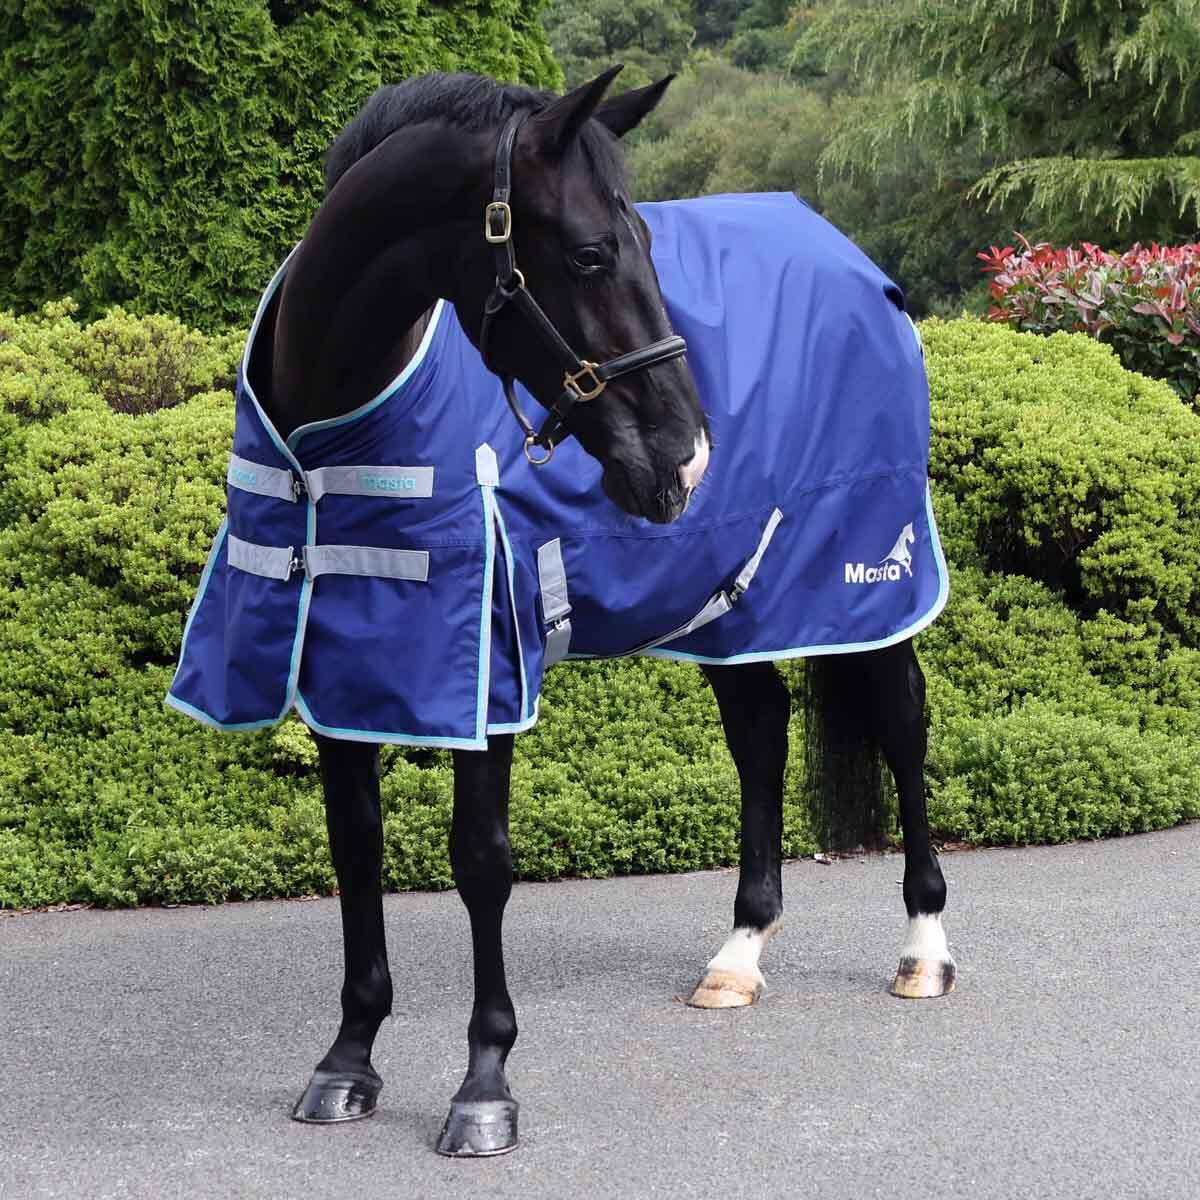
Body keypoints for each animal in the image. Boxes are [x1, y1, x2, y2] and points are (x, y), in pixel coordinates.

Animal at [166, 68, 956, 1158]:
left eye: (645, 246)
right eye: (590, 253)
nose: (684, 460)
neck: (330, 434)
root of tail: (856, 265)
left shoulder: (483, 667)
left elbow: (481, 863)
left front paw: (484, 1084)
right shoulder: (343, 666)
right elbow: (356, 848)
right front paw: (348, 1061)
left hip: (856, 582)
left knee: (902, 726)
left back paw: (924, 949)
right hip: (734, 604)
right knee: (761, 736)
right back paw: (738, 957)